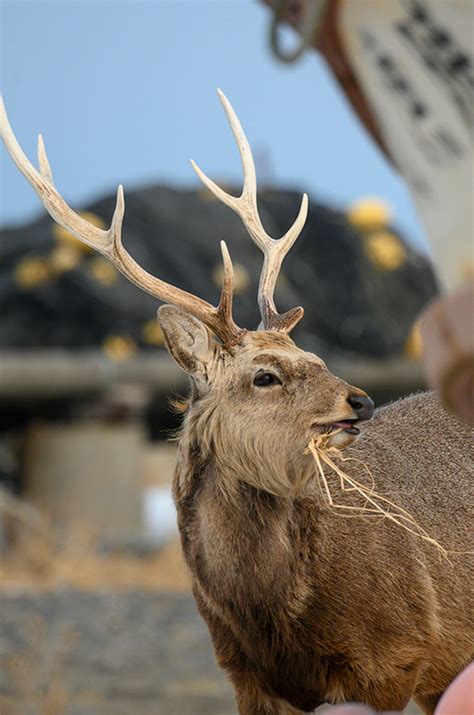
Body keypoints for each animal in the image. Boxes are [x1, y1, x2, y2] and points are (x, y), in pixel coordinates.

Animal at [1, 91, 472, 715]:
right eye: (265, 376)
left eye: (316, 356)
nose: (361, 399)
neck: (269, 610)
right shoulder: (246, 674)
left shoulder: (397, 654)